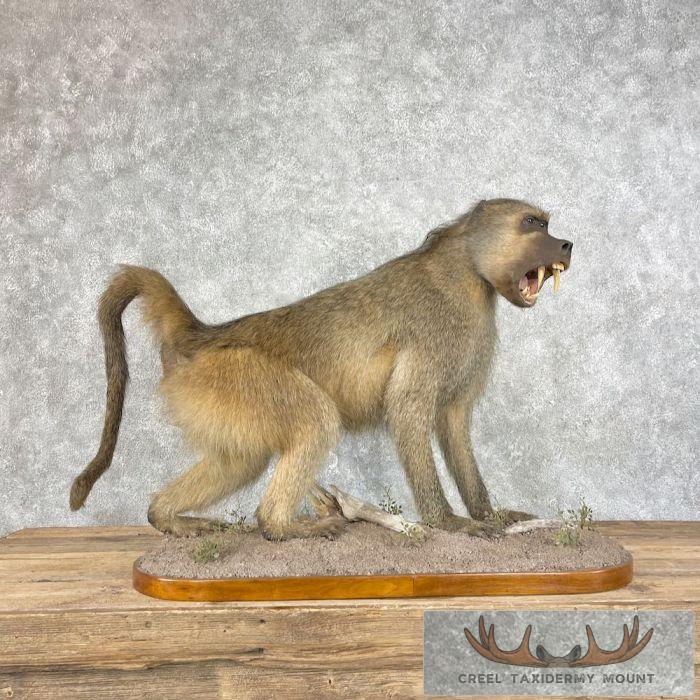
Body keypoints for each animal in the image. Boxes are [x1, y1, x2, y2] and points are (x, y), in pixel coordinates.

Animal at [69, 198, 573, 541]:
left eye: (547, 223)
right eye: (533, 223)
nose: (566, 243)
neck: (466, 275)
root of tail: (206, 336)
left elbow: (453, 422)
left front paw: (490, 515)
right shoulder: (431, 332)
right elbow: (408, 411)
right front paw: (447, 521)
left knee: (240, 460)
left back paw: (167, 517)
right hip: (236, 374)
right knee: (314, 421)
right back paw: (279, 526)